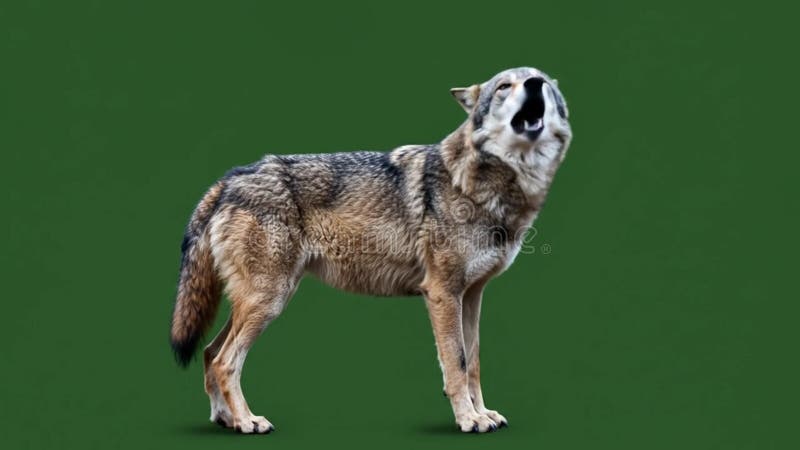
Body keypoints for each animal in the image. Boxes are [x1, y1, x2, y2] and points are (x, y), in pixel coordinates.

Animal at [170, 67, 572, 434]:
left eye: (541, 81)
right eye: (505, 86)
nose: (534, 85)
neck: (479, 184)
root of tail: (229, 179)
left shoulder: (472, 295)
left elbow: (471, 363)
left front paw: (482, 413)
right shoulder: (442, 293)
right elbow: (455, 364)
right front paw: (469, 420)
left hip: (261, 301)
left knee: (209, 352)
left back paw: (225, 419)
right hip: (269, 300)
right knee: (224, 361)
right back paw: (247, 421)